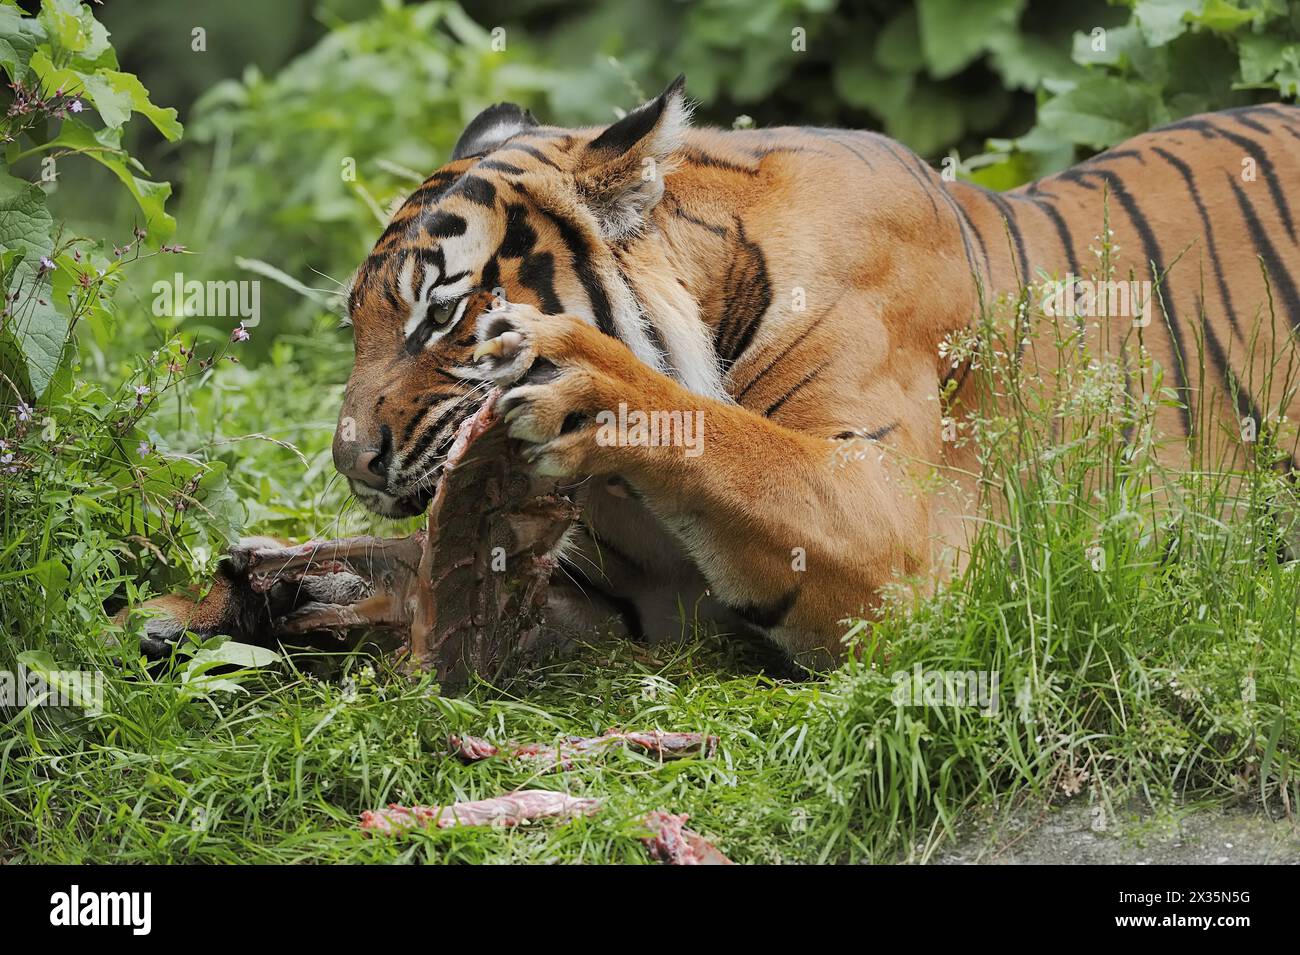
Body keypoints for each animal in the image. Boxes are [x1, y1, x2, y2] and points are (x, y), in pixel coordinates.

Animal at [135, 76, 1300, 670]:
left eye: (442, 310)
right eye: (359, 320)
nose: (350, 461)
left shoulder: (898, 529)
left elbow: (736, 443)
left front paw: (588, 378)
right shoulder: (626, 591)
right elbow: (405, 562)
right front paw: (248, 587)